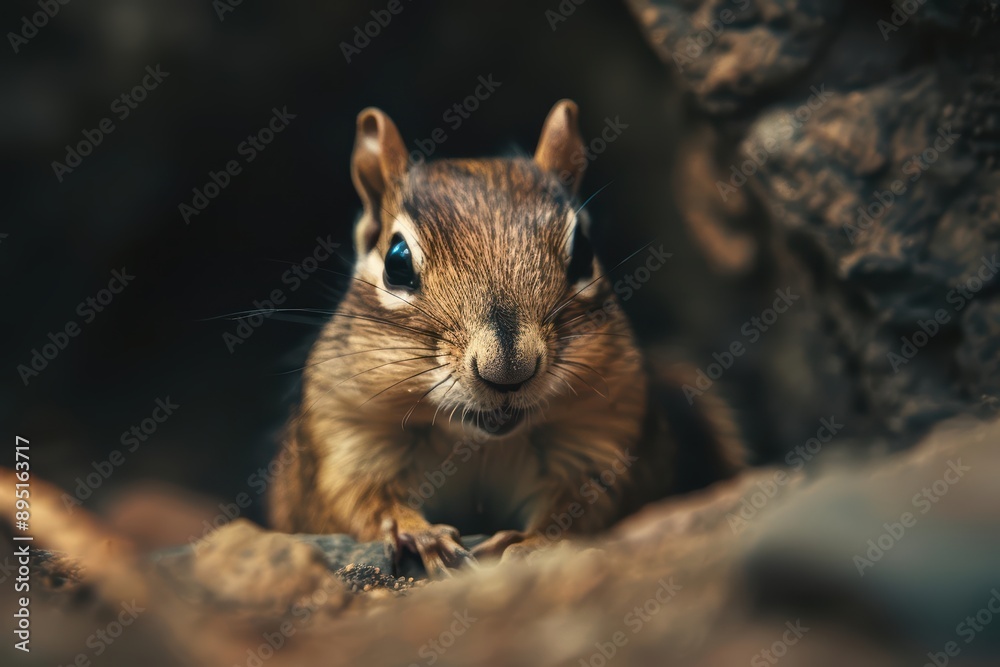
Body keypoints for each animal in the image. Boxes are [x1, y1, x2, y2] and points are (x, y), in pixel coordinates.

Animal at [267, 100, 745, 577]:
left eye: (584, 252)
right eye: (396, 261)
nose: (508, 371)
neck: (475, 442)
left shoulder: (605, 436)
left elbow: (584, 506)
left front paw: (532, 544)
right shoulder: (344, 437)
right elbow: (357, 501)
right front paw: (419, 535)